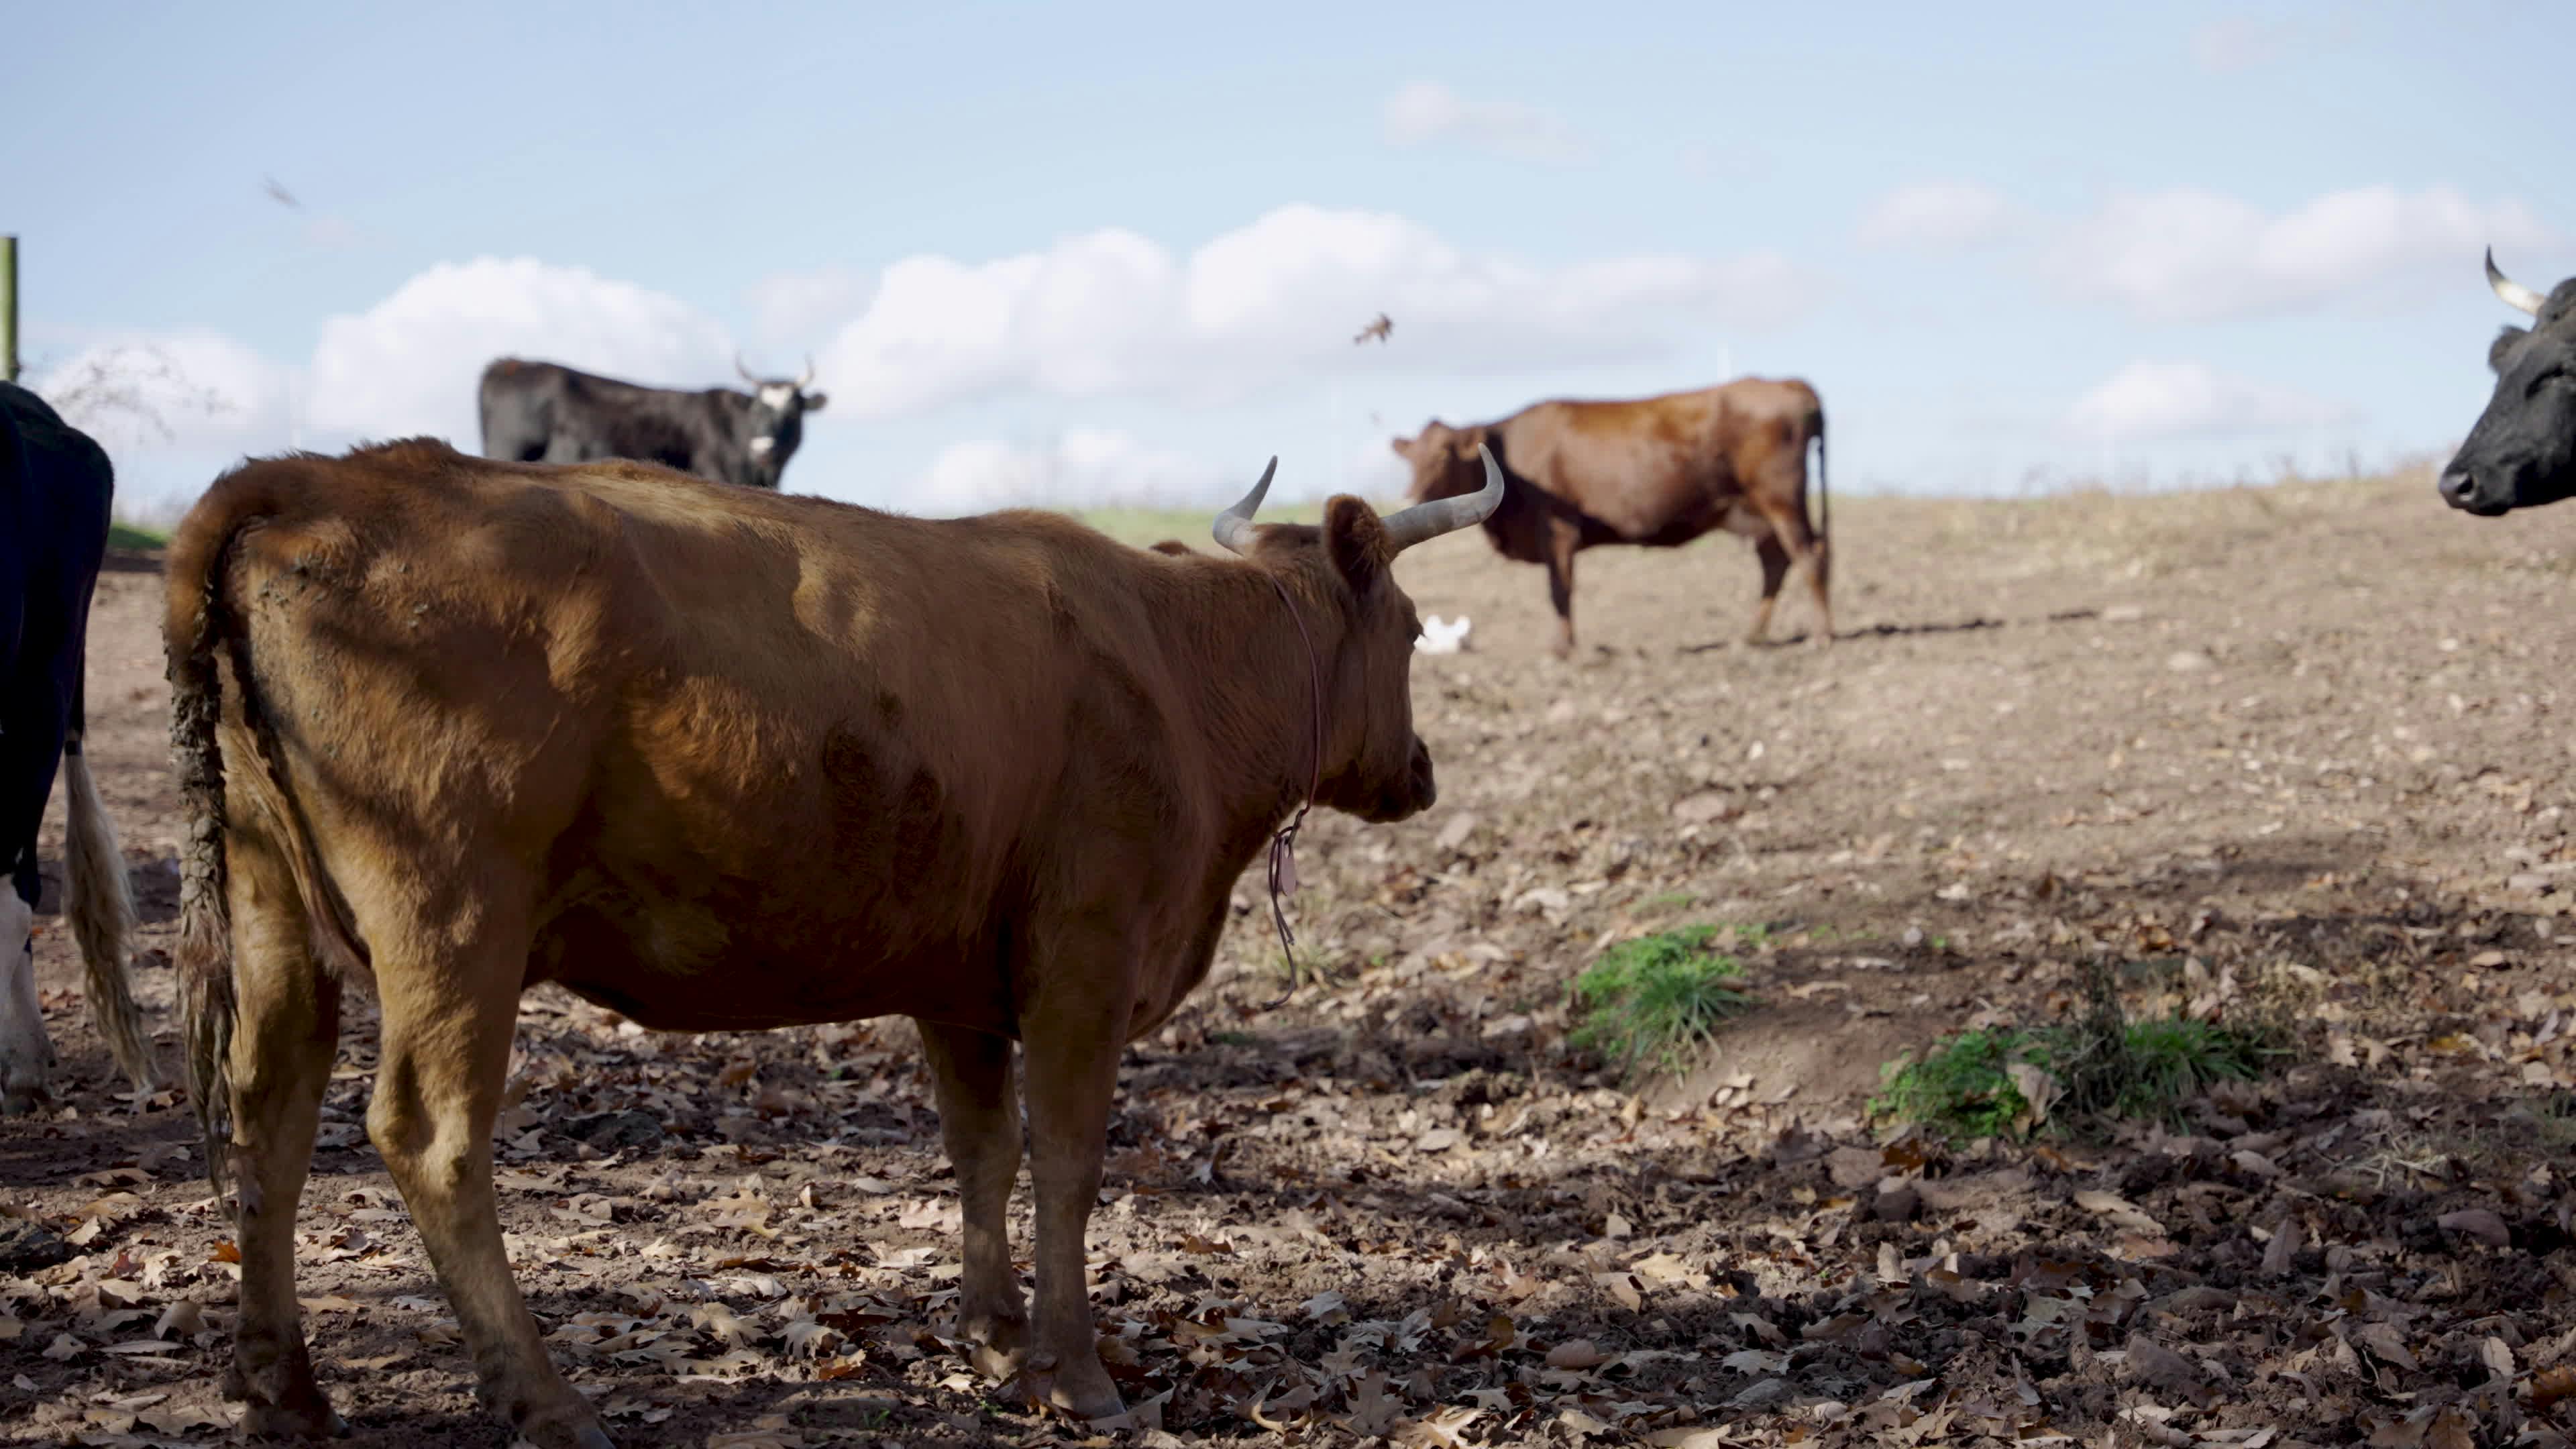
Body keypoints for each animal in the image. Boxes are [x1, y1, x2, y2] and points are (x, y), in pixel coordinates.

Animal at [163, 437, 1504, 1446]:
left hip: (272, 900)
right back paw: (545, 1402)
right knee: (431, 1138)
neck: (1175, 665)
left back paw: (281, 1390)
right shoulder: (1085, 955)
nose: (1424, 773)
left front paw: (997, 1334)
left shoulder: (963, 984)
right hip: (455, 917)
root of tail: (325, 475)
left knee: (270, 1111)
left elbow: (983, 1153)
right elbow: (1068, 1160)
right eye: (1409, 630)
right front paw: (1076, 1373)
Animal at [1392, 378, 1830, 657]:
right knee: (1776, 562)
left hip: (1781, 500)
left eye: (1443, 455)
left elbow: (1560, 590)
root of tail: (1788, 383)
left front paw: (1564, 649)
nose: (1411, 493)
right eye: (1410, 458)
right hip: (1756, 513)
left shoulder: (1559, 531)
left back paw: (1821, 635)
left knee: (1810, 555)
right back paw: (1752, 636)